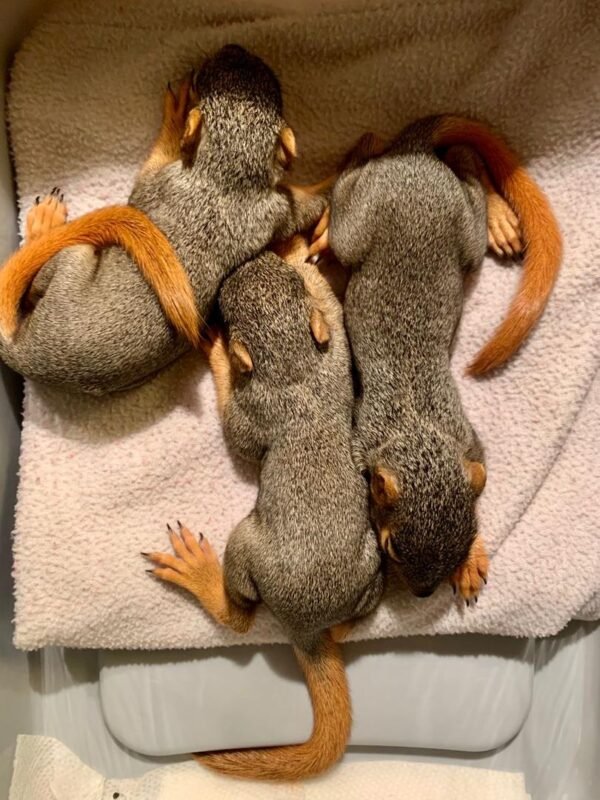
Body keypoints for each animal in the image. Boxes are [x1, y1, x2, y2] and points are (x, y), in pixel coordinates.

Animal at [0, 45, 328, 394]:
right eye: (268, 83)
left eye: (203, 81)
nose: (234, 48)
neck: (228, 177)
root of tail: (24, 356)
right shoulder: (276, 209)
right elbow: (306, 205)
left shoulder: (157, 185)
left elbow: (151, 169)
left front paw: (177, 113)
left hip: (72, 262)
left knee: (39, 277)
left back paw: (44, 224)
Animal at [144, 236, 383, 781]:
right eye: (280, 276)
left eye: (228, 310)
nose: (248, 263)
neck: (294, 367)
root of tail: (304, 623)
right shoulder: (336, 358)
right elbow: (332, 310)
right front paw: (301, 251)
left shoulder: (258, 412)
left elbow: (238, 432)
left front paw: (216, 354)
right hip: (370, 566)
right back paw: (343, 627)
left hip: (245, 546)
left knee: (239, 617)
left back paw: (201, 575)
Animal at [314, 115, 561, 601]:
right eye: (391, 549)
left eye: (464, 537)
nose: (424, 594)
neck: (417, 429)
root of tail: (412, 161)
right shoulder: (362, 442)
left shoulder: (467, 439)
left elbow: (479, 477)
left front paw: (470, 564)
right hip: (369, 221)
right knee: (351, 196)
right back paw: (364, 148)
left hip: (459, 227)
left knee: (464, 164)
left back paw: (496, 213)